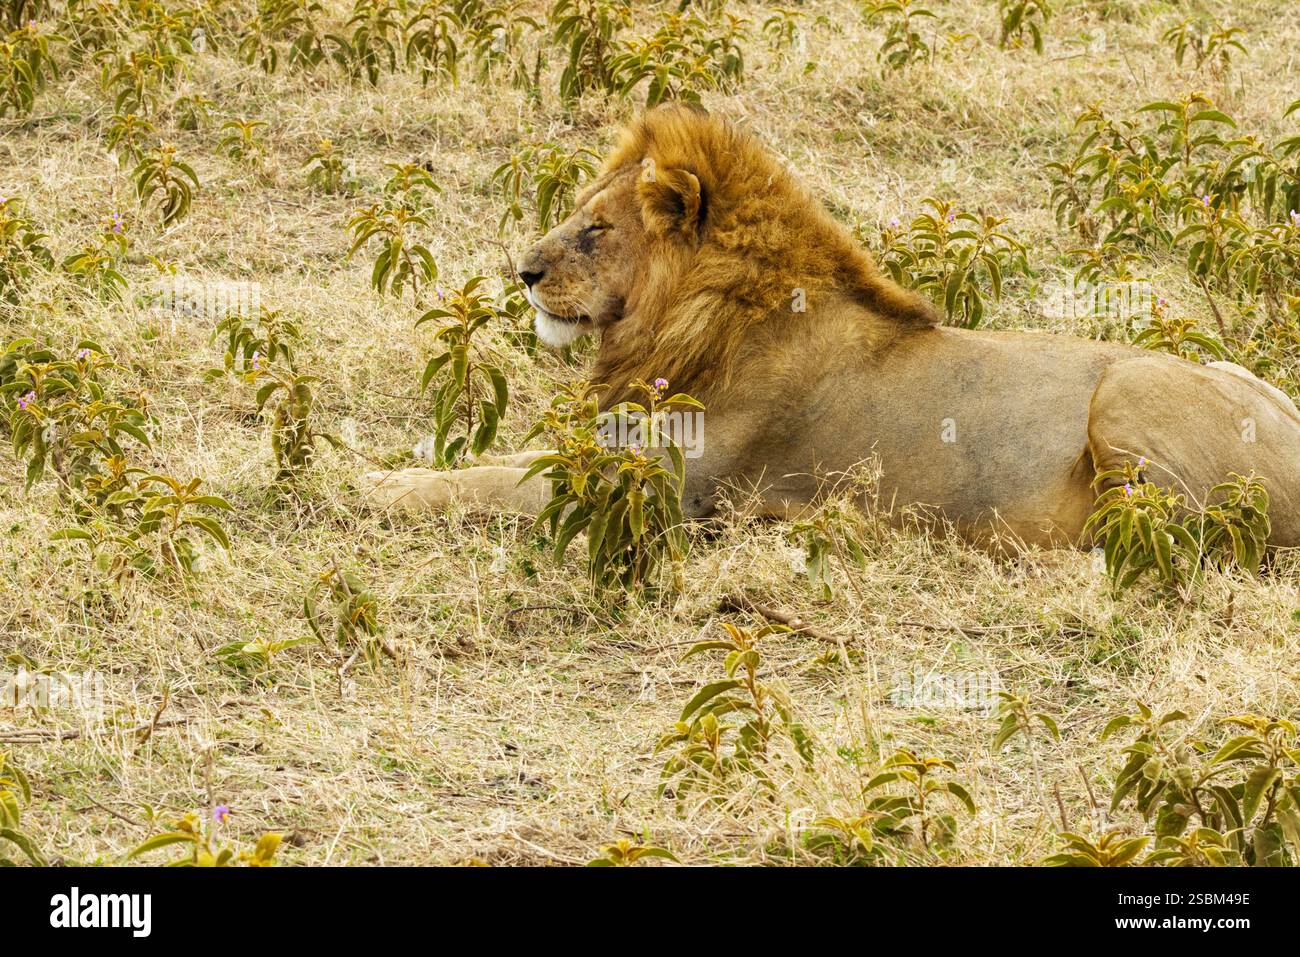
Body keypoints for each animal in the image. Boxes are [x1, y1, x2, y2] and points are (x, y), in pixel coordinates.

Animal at [362, 104, 1300, 550]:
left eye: (595, 229)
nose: (522, 272)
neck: (696, 318)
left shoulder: (663, 491)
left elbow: (489, 482)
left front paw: (375, 485)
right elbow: (490, 462)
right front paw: (392, 461)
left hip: (1130, 396)